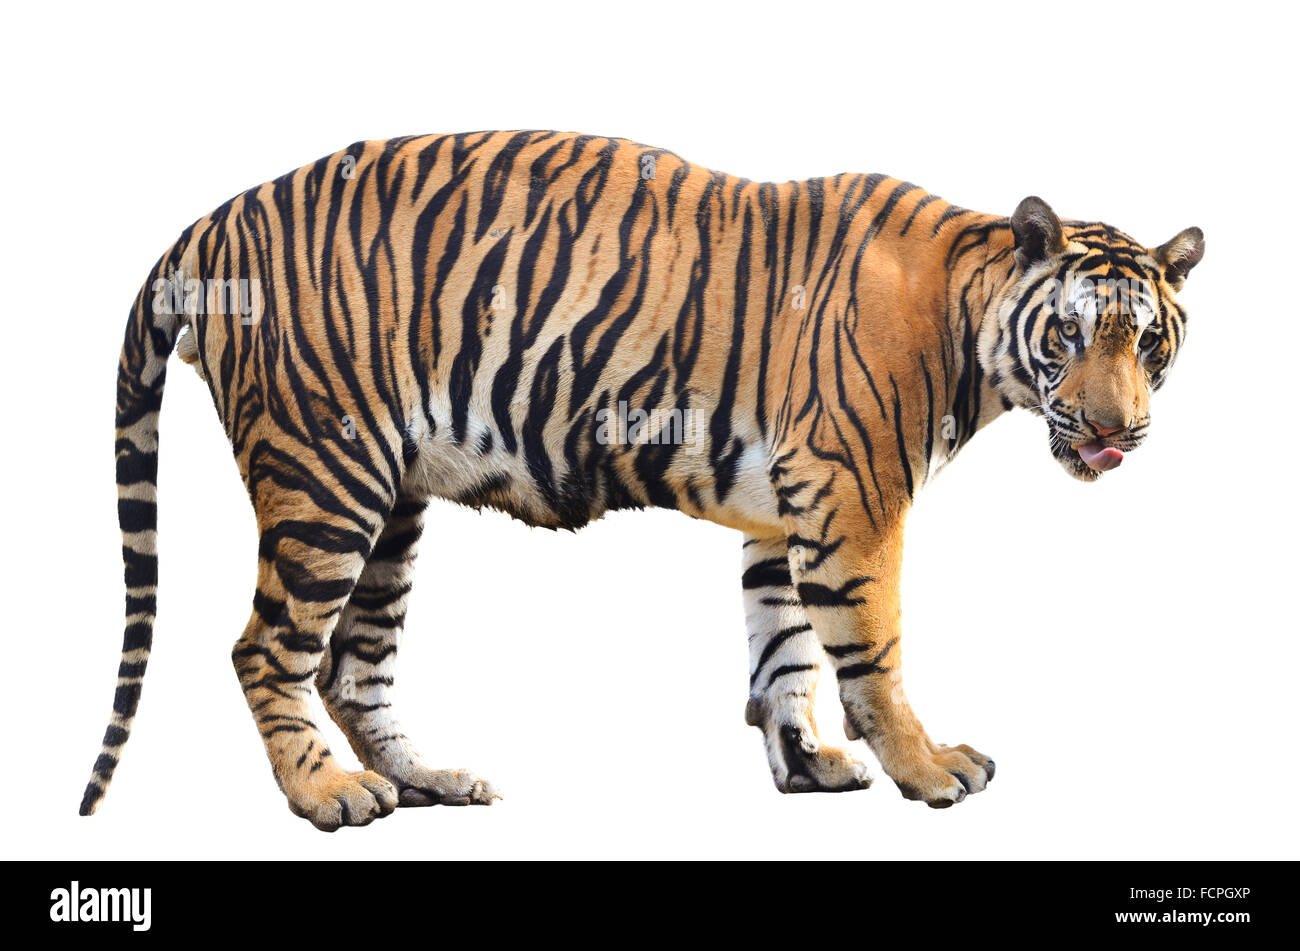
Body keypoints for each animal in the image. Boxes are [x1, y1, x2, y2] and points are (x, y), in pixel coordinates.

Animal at [81, 131, 1204, 830]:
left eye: (1147, 343)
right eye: (1069, 336)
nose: (1119, 432)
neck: (975, 320)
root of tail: (209, 222)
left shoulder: (785, 506)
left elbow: (784, 645)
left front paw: (806, 763)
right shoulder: (852, 493)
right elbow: (869, 647)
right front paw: (928, 770)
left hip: (391, 505)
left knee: (353, 668)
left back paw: (427, 780)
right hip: (325, 475)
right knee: (264, 649)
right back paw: (327, 797)